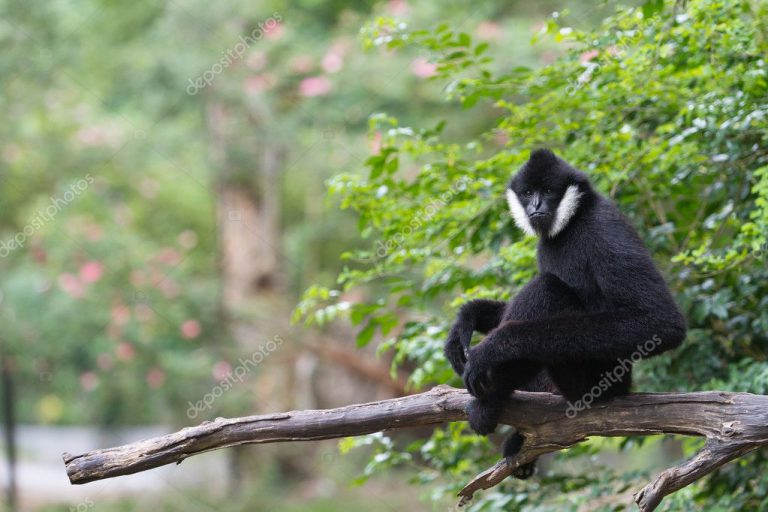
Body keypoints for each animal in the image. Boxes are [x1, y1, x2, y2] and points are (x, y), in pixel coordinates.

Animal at [444, 149, 686, 478]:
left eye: (548, 191)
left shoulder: (605, 228)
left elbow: (661, 322)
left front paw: (495, 346)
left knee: (546, 289)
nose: (536, 205)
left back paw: (489, 404)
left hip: (596, 377)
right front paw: (466, 319)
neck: (573, 221)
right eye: (528, 192)